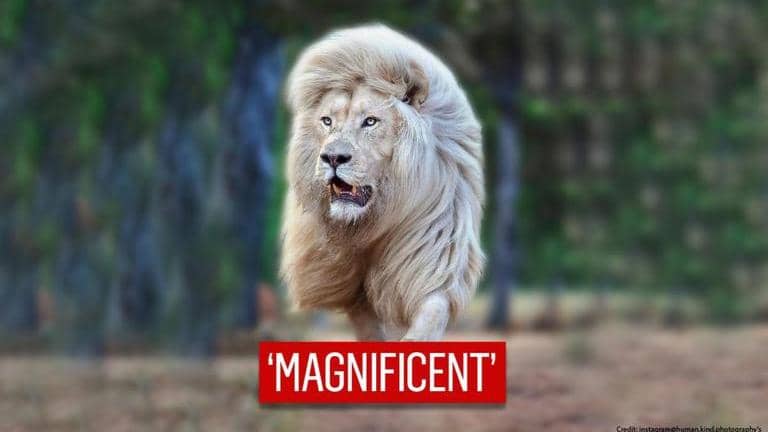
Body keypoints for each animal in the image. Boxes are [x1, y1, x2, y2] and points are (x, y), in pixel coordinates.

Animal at [280, 24, 484, 340]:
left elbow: (431, 312)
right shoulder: (351, 288)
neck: (376, 219)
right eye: (327, 121)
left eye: (370, 121)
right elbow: (369, 328)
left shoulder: (435, 257)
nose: (333, 157)